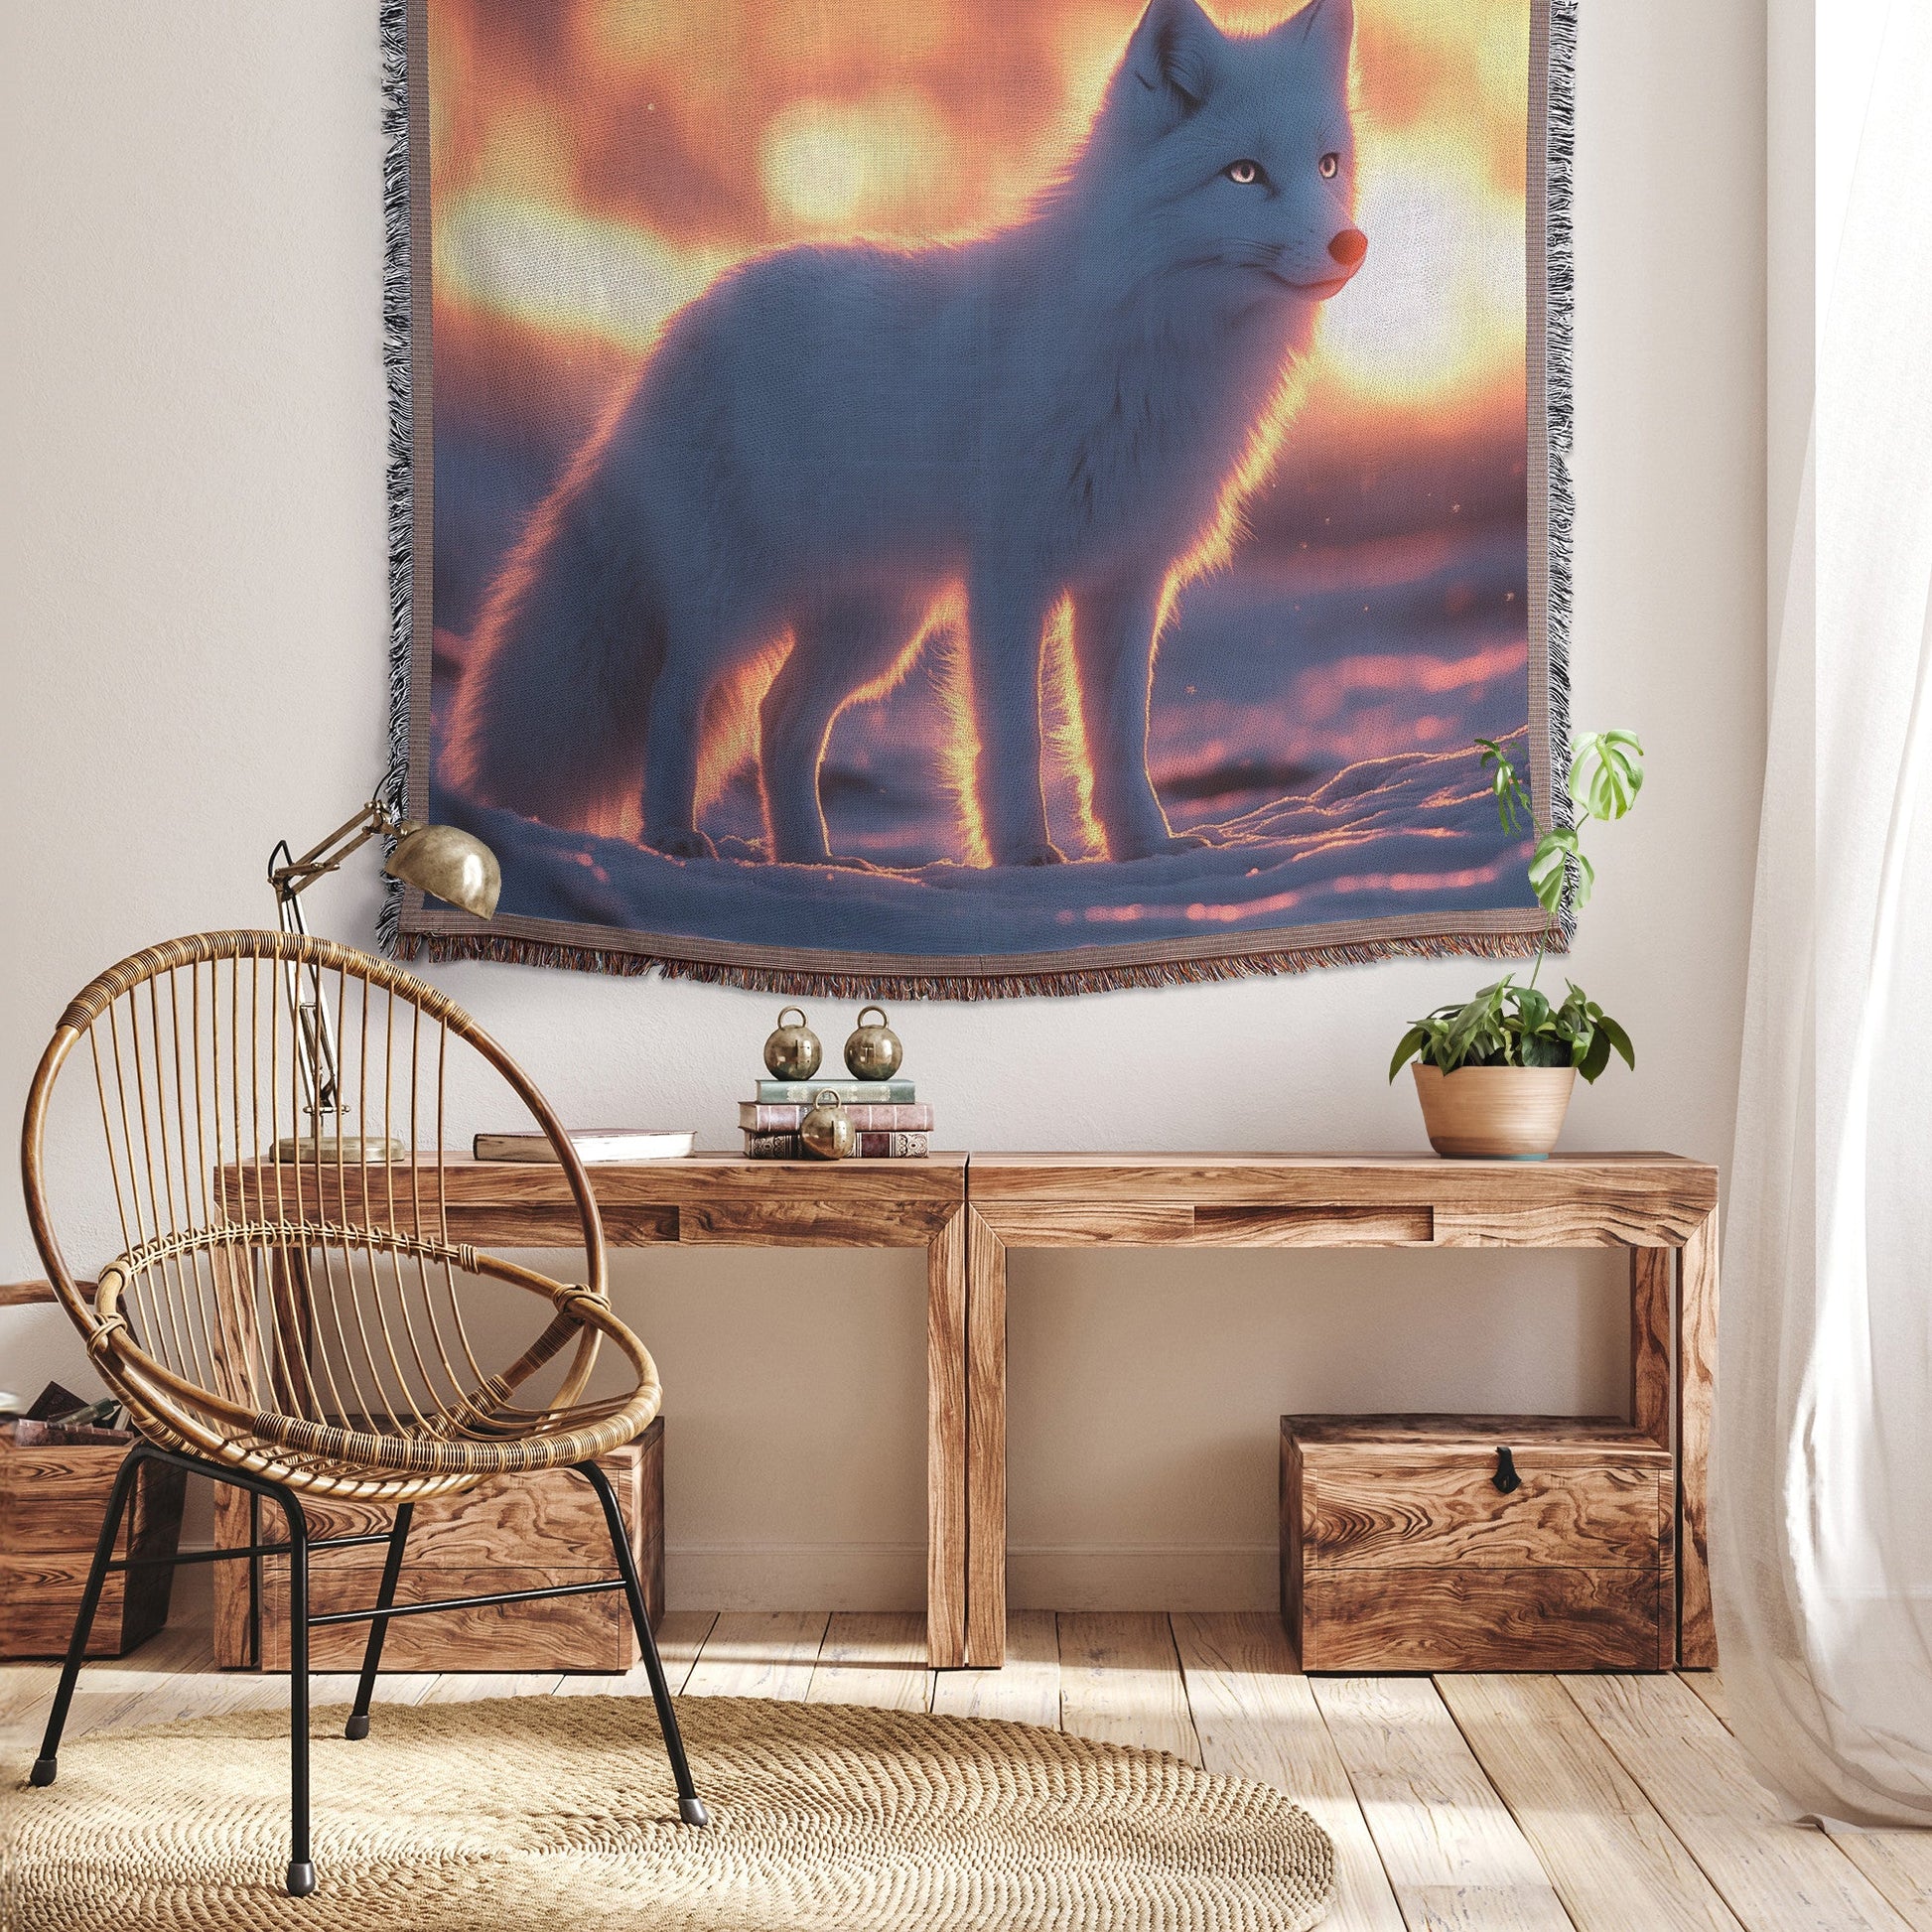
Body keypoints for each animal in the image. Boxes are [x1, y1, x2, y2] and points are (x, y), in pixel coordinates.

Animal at [443, 0, 1365, 868]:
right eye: (1243, 173)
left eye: (1328, 165)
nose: (1351, 243)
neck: (1152, 341)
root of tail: (677, 332)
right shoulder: (1010, 576)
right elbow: (1012, 737)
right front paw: (1025, 857)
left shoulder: (1127, 579)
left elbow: (1120, 740)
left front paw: (1146, 853)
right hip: (740, 603)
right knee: (677, 698)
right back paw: (675, 835)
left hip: (876, 625)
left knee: (781, 718)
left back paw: (812, 860)